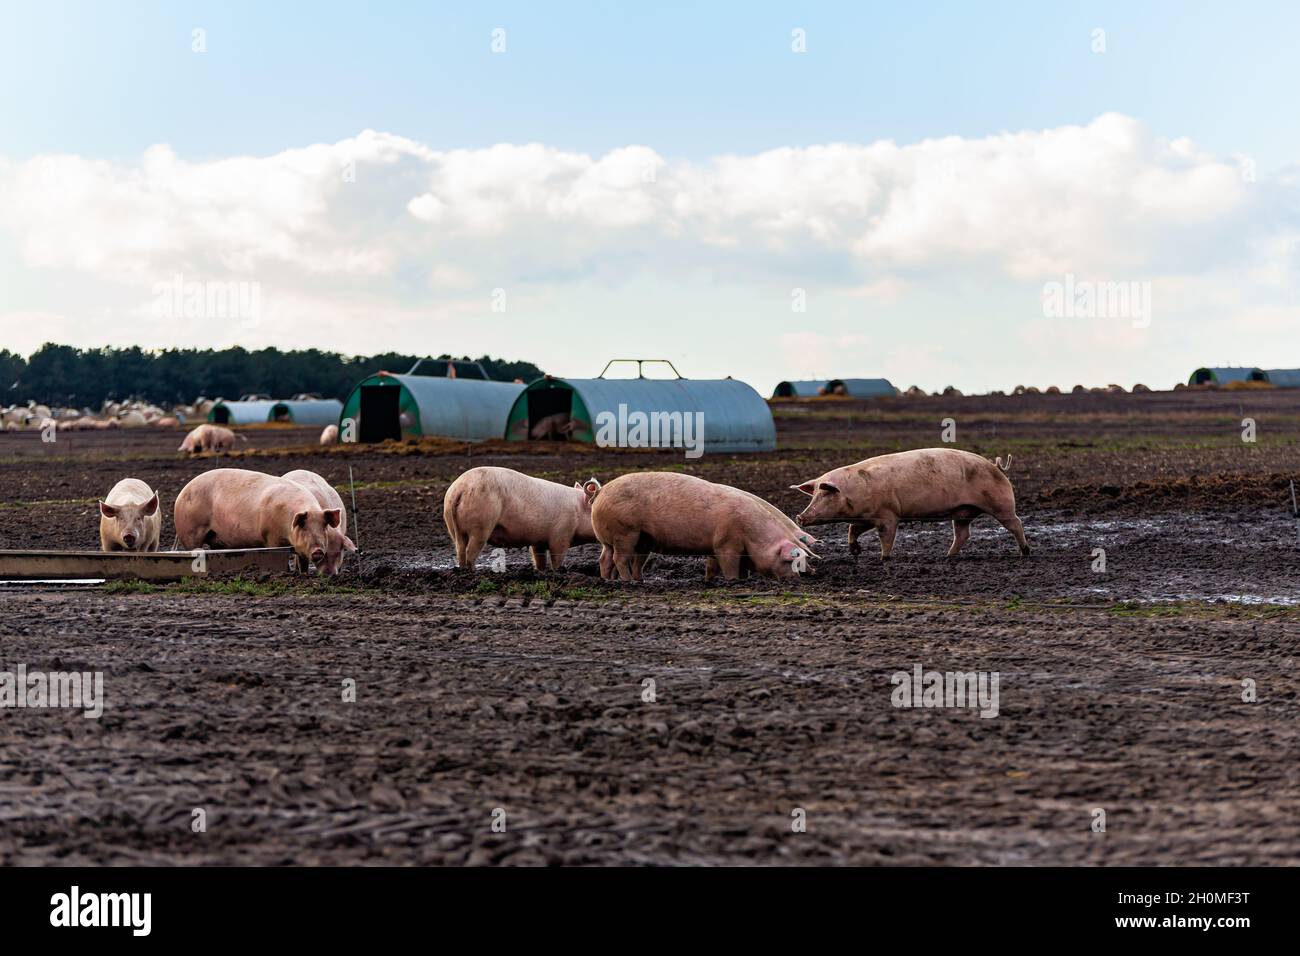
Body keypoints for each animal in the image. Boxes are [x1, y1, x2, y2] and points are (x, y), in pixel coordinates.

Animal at [173, 468, 343, 574]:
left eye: (323, 527)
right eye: (303, 526)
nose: (318, 550)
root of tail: (181, 494)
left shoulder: (299, 549)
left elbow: (302, 562)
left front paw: (303, 574)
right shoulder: (272, 538)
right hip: (191, 530)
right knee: (192, 546)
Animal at [442, 466, 599, 570]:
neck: (577, 510)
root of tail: (459, 489)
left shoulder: (538, 540)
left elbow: (539, 558)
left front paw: (541, 571)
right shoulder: (561, 534)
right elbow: (557, 557)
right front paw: (558, 572)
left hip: (453, 527)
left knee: (460, 549)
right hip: (481, 525)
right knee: (471, 551)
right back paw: (473, 572)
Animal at [590, 472, 812, 582]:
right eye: (791, 560)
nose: (802, 576)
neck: (753, 535)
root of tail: (601, 492)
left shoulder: (715, 546)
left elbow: (712, 566)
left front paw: (709, 581)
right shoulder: (727, 543)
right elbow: (730, 566)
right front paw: (734, 581)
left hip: (637, 539)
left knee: (609, 559)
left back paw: (618, 581)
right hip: (625, 533)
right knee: (619, 559)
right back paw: (627, 582)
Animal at [791, 448, 1029, 560]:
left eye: (825, 495)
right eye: (813, 494)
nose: (800, 516)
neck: (856, 490)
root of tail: (995, 466)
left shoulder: (888, 514)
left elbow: (886, 536)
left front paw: (884, 558)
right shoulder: (866, 517)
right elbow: (852, 529)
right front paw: (855, 551)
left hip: (1001, 503)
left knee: (1016, 524)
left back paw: (1025, 552)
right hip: (963, 511)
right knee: (963, 534)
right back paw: (947, 556)